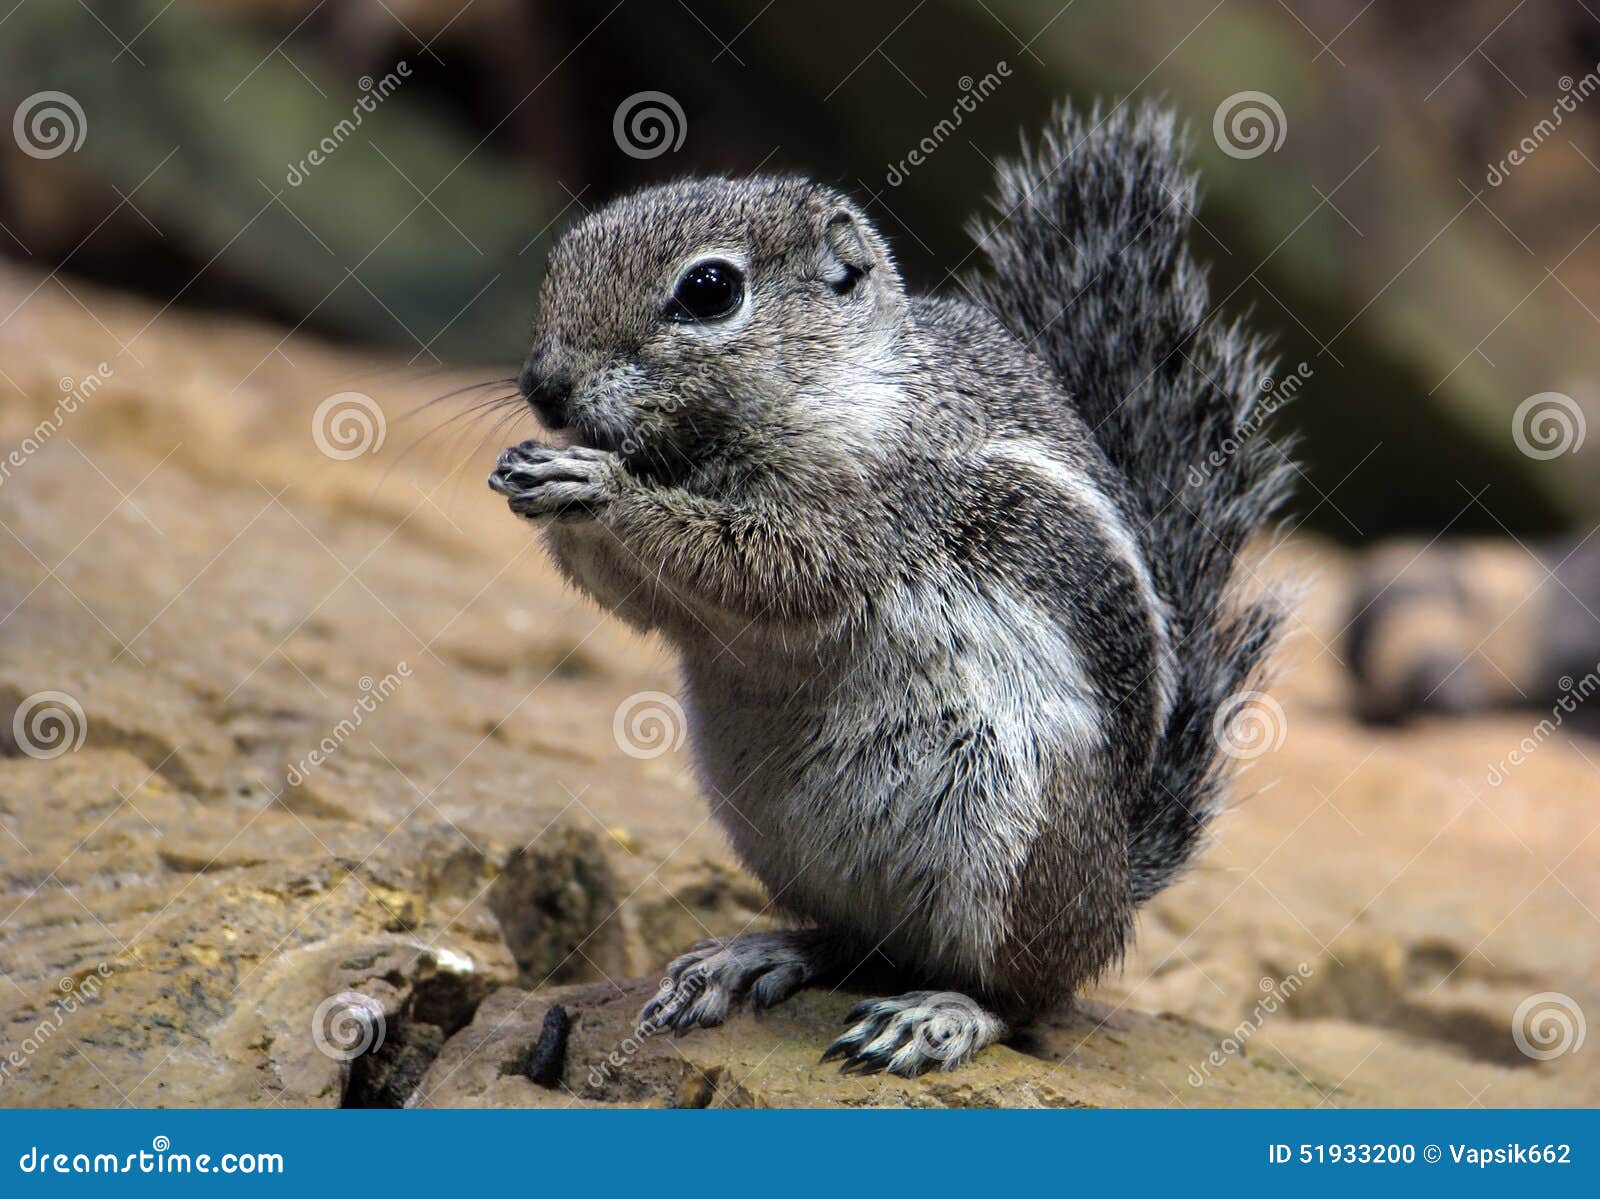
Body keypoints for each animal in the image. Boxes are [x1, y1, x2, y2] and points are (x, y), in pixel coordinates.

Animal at [488, 102, 1293, 1076]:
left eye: (710, 290)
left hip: (1014, 843)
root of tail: (1112, 884)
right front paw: (535, 474)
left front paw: (601, 486)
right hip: (776, 833)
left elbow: (770, 573)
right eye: (565, 255)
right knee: (861, 942)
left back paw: (943, 1013)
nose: (542, 385)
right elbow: (644, 600)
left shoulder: (870, 512)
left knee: (1030, 996)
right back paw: (753, 954)